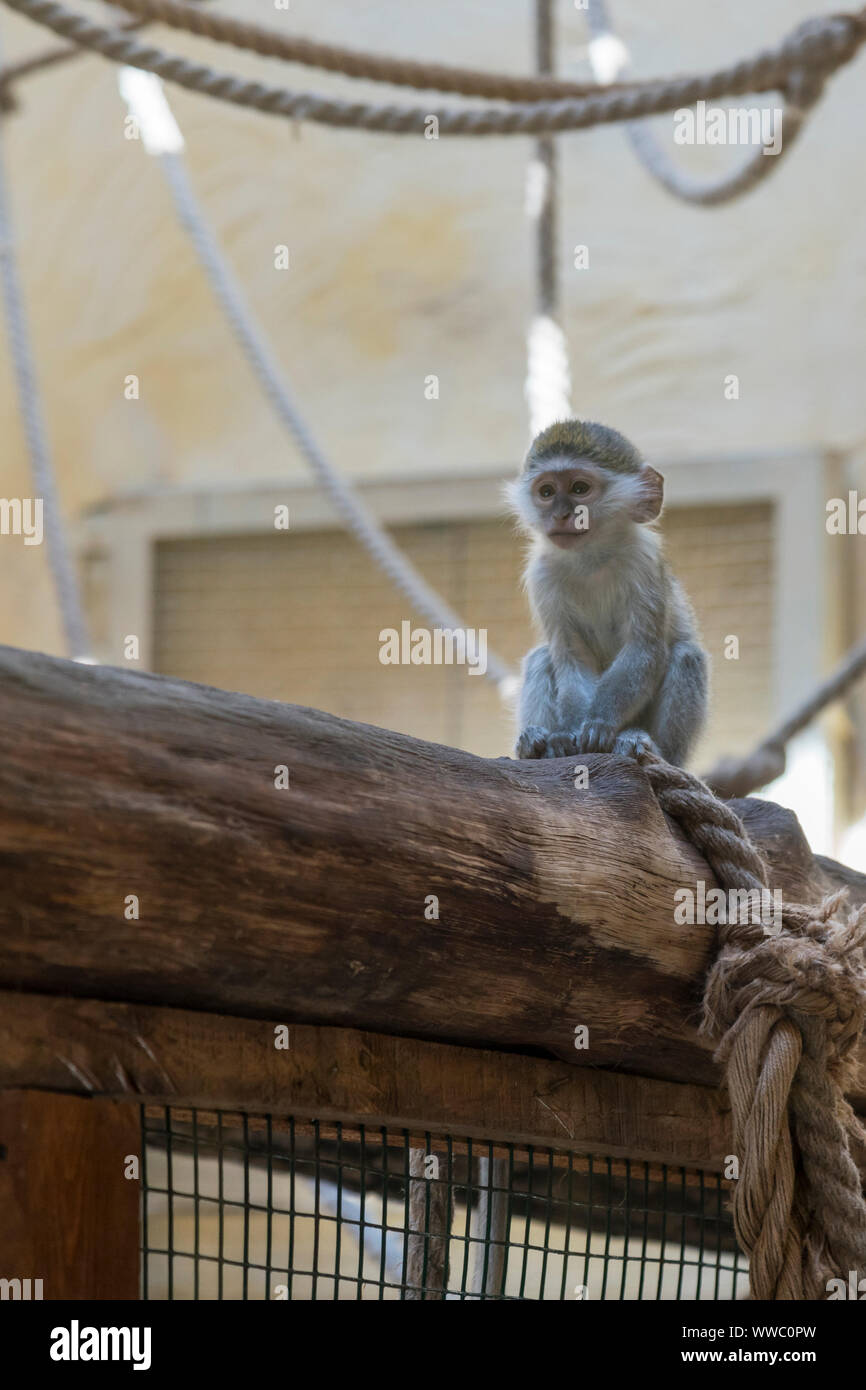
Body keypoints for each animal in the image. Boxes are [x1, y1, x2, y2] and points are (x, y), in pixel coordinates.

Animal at [506, 418, 708, 766]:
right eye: (546, 492)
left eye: (579, 489)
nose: (560, 515)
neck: (592, 558)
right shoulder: (541, 574)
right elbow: (570, 655)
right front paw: (565, 735)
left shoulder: (644, 560)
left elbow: (643, 649)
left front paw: (600, 723)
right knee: (542, 657)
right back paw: (532, 745)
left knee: (686, 655)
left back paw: (652, 748)